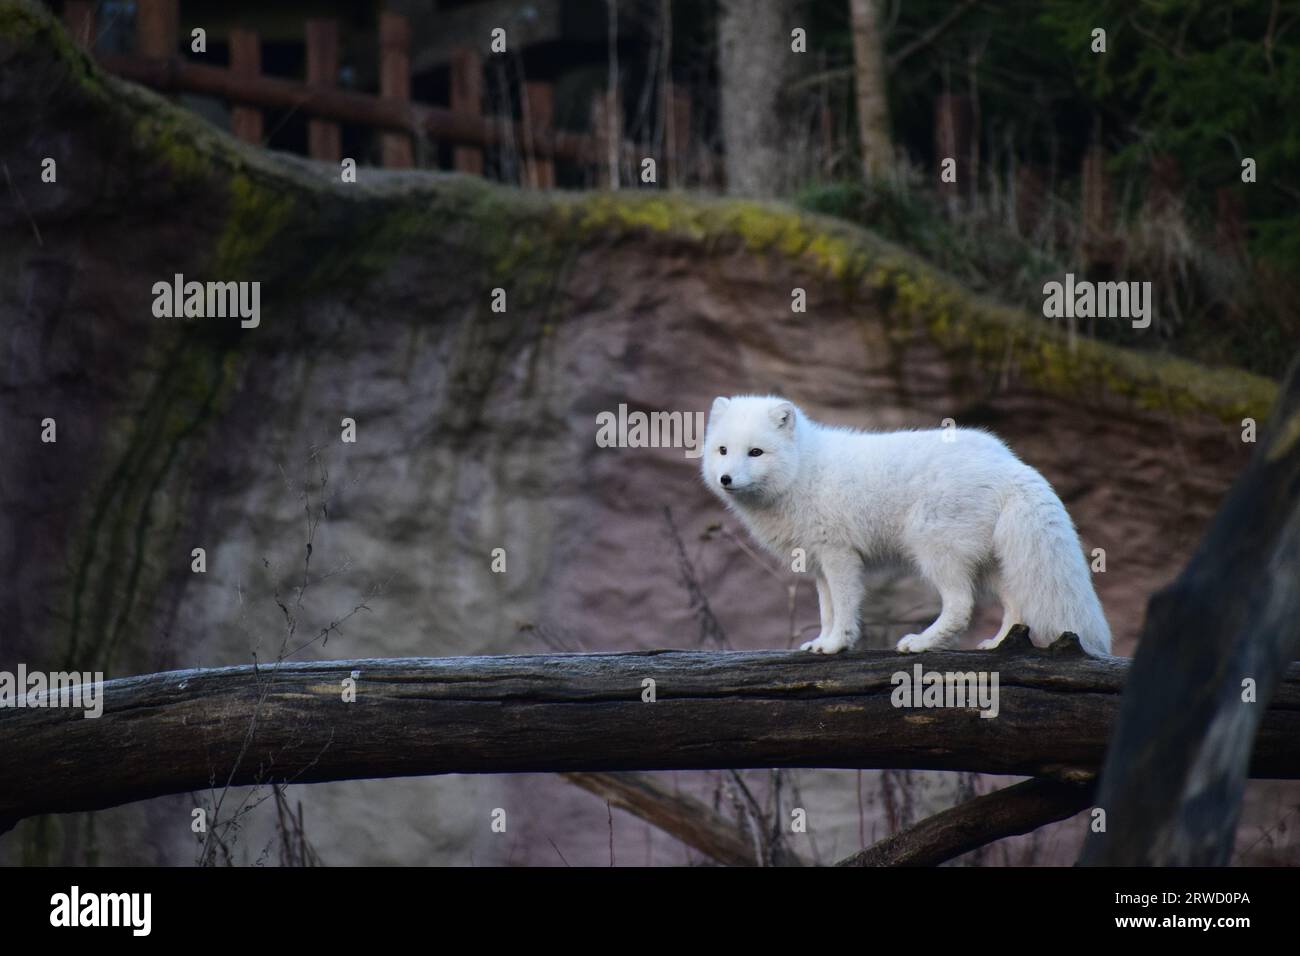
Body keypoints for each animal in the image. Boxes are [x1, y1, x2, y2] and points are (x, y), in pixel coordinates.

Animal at [700, 395, 1111, 656]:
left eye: (756, 452)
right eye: (723, 450)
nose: (725, 479)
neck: (803, 471)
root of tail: (1010, 465)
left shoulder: (839, 555)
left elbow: (844, 607)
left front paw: (837, 645)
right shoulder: (818, 564)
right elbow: (827, 611)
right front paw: (822, 641)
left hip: (934, 550)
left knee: (961, 606)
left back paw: (921, 643)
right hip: (992, 564)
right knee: (1015, 607)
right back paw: (998, 645)